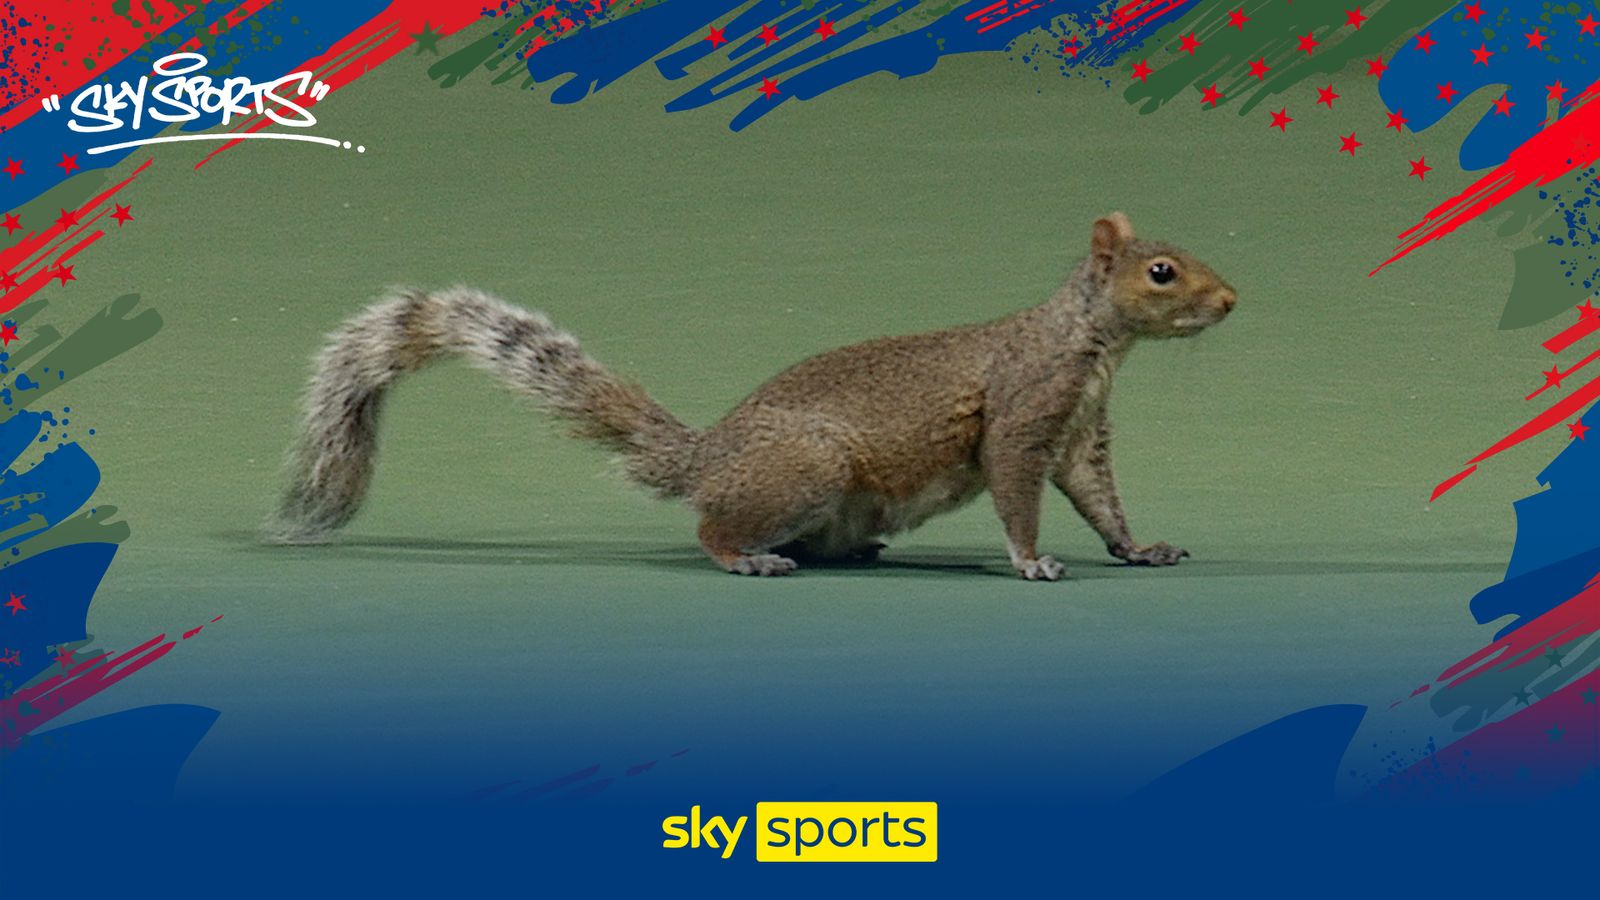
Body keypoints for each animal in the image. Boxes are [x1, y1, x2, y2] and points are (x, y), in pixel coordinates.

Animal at [271, 212, 1236, 580]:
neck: (1092, 345)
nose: (1231, 301)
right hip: (808, 469)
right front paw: (1032, 561)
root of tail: (707, 458)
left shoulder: (1079, 435)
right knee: (712, 528)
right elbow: (1018, 496)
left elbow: (1100, 499)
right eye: (1162, 271)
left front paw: (1140, 548)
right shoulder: (1022, 418)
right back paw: (750, 556)